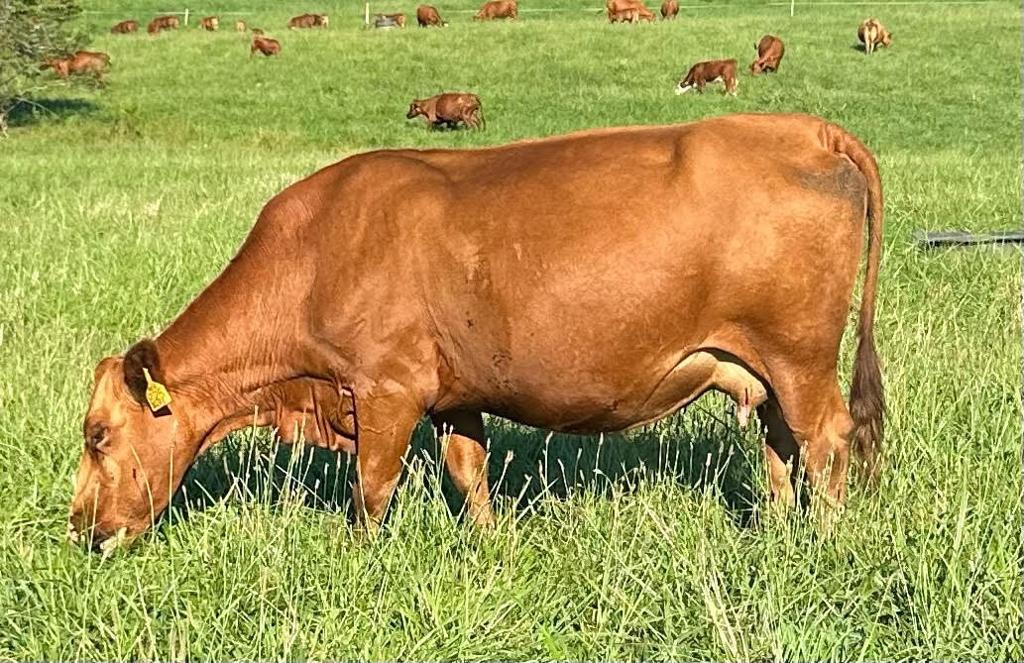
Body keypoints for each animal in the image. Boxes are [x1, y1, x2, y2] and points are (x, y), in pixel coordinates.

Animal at [68, 112, 884, 553]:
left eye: (98, 434)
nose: (79, 528)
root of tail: (802, 129)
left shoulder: (387, 388)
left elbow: (371, 489)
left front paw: (358, 562)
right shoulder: (453, 395)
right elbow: (469, 473)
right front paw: (490, 547)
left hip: (800, 355)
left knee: (825, 439)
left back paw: (822, 540)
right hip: (765, 365)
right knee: (781, 444)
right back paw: (776, 531)